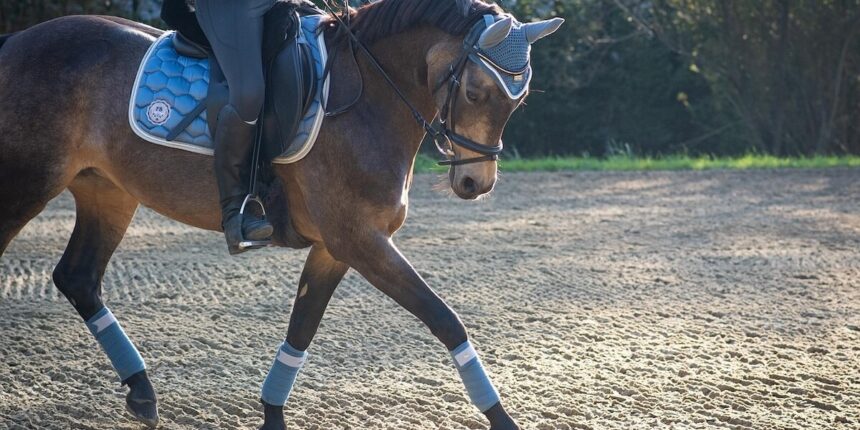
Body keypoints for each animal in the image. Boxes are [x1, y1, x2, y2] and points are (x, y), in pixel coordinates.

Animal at [0, 0, 562, 428]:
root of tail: (16, 43)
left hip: (108, 191)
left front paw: (272, 414)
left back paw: (142, 393)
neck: (368, 98)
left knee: (78, 277)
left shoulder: (338, 247)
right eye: (475, 92)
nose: (475, 185)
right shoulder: (361, 240)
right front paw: (502, 417)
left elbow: (301, 329)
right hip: (27, 183)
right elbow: (445, 319)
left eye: (518, 100)